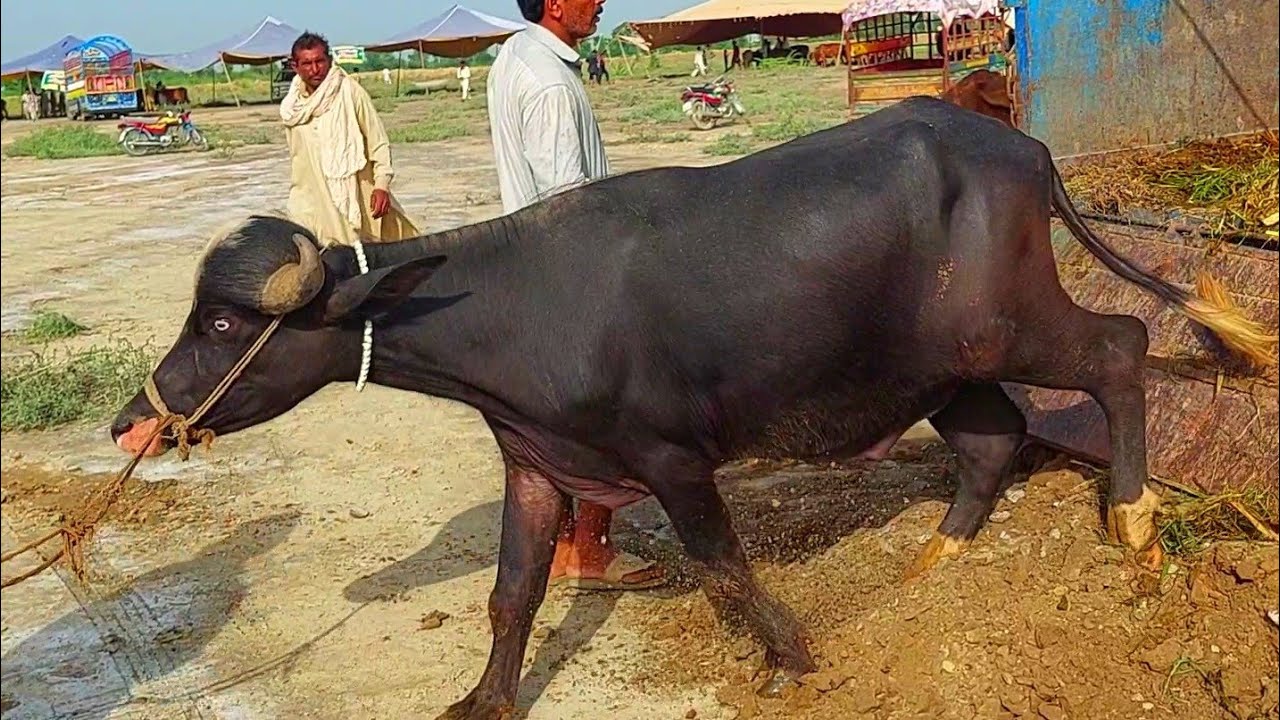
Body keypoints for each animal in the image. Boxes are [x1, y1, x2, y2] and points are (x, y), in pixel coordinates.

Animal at [110, 97, 1274, 720]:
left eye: (222, 322)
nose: (133, 421)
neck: (516, 310)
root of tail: (1021, 148)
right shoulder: (535, 464)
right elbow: (510, 595)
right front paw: (485, 698)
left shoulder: (672, 460)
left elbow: (723, 567)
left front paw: (792, 658)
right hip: (940, 368)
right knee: (993, 441)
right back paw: (928, 567)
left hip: (1013, 325)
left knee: (1119, 352)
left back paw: (1132, 523)